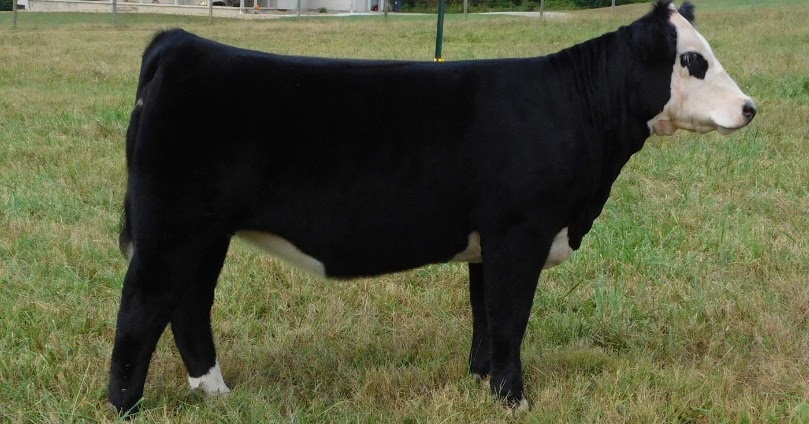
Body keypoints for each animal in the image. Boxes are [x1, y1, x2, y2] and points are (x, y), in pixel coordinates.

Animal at [108, 0, 756, 415]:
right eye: (692, 60)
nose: (750, 107)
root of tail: (182, 43)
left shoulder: (489, 239)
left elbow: (486, 314)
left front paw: (482, 379)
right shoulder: (520, 231)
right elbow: (511, 316)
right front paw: (513, 399)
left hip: (205, 234)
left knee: (189, 304)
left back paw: (216, 393)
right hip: (173, 229)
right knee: (142, 307)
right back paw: (125, 406)